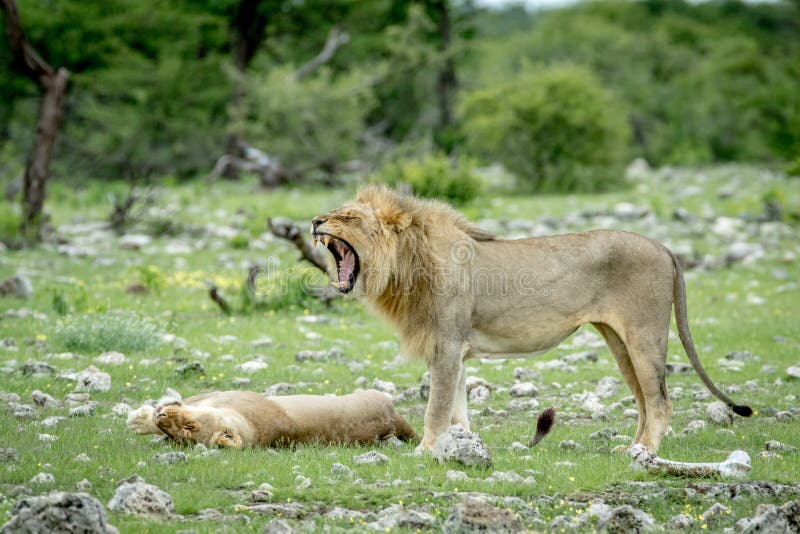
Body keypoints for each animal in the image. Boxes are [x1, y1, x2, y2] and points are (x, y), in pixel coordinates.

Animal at [311, 185, 752, 453]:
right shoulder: (454, 350)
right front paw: (459, 446)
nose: (315, 221)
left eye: (346, 217)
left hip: (644, 335)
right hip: (619, 341)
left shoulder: (448, 344)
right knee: (645, 400)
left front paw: (424, 451)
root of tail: (663, 247)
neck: (407, 262)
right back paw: (630, 448)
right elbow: (457, 408)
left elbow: (436, 407)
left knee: (660, 401)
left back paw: (644, 453)